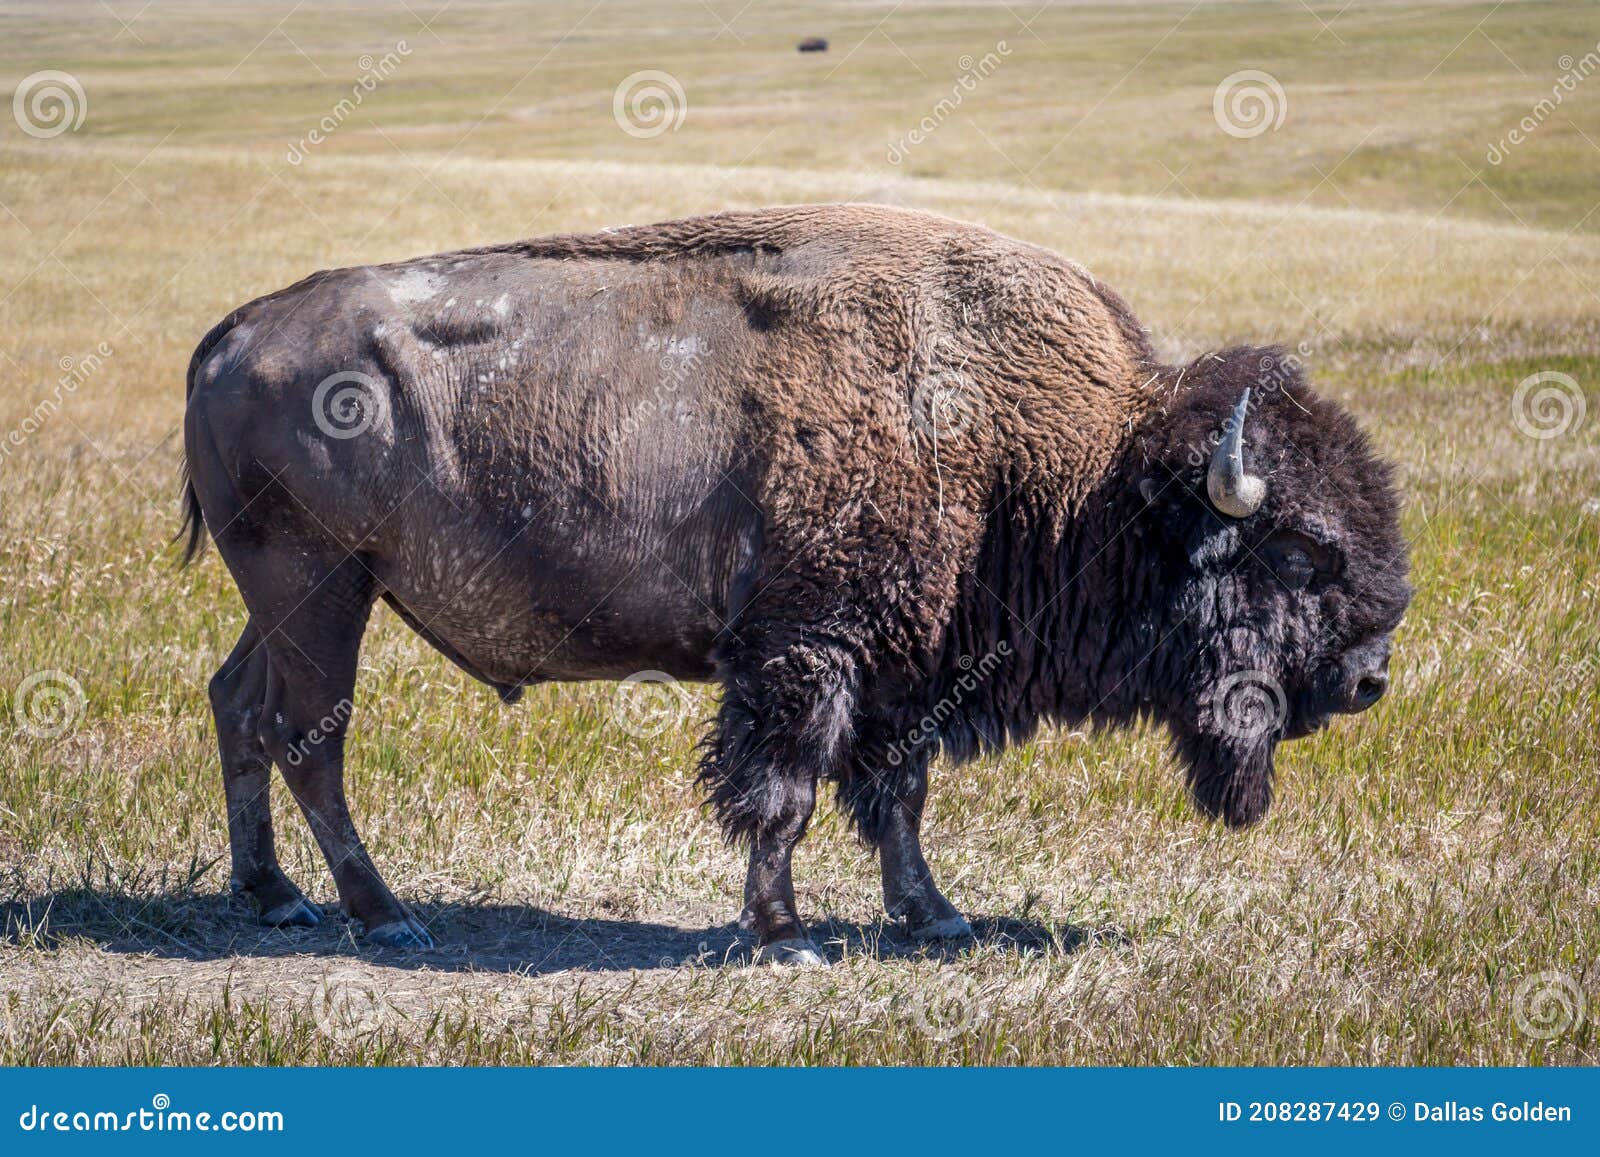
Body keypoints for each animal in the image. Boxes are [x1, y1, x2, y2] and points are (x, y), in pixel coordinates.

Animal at [180, 204, 1410, 963]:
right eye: (1298, 549)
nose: (1368, 678)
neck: (1069, 461)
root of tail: (232, 330)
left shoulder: (910, 667)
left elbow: (896, 792)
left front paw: (935, 916)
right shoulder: (805, 653)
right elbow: (786, 793)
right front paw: (784, 933)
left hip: (288, 600)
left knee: (238, 704)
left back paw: (274, 897)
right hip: (322, 589)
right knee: (309, 736)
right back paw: (383, 915)